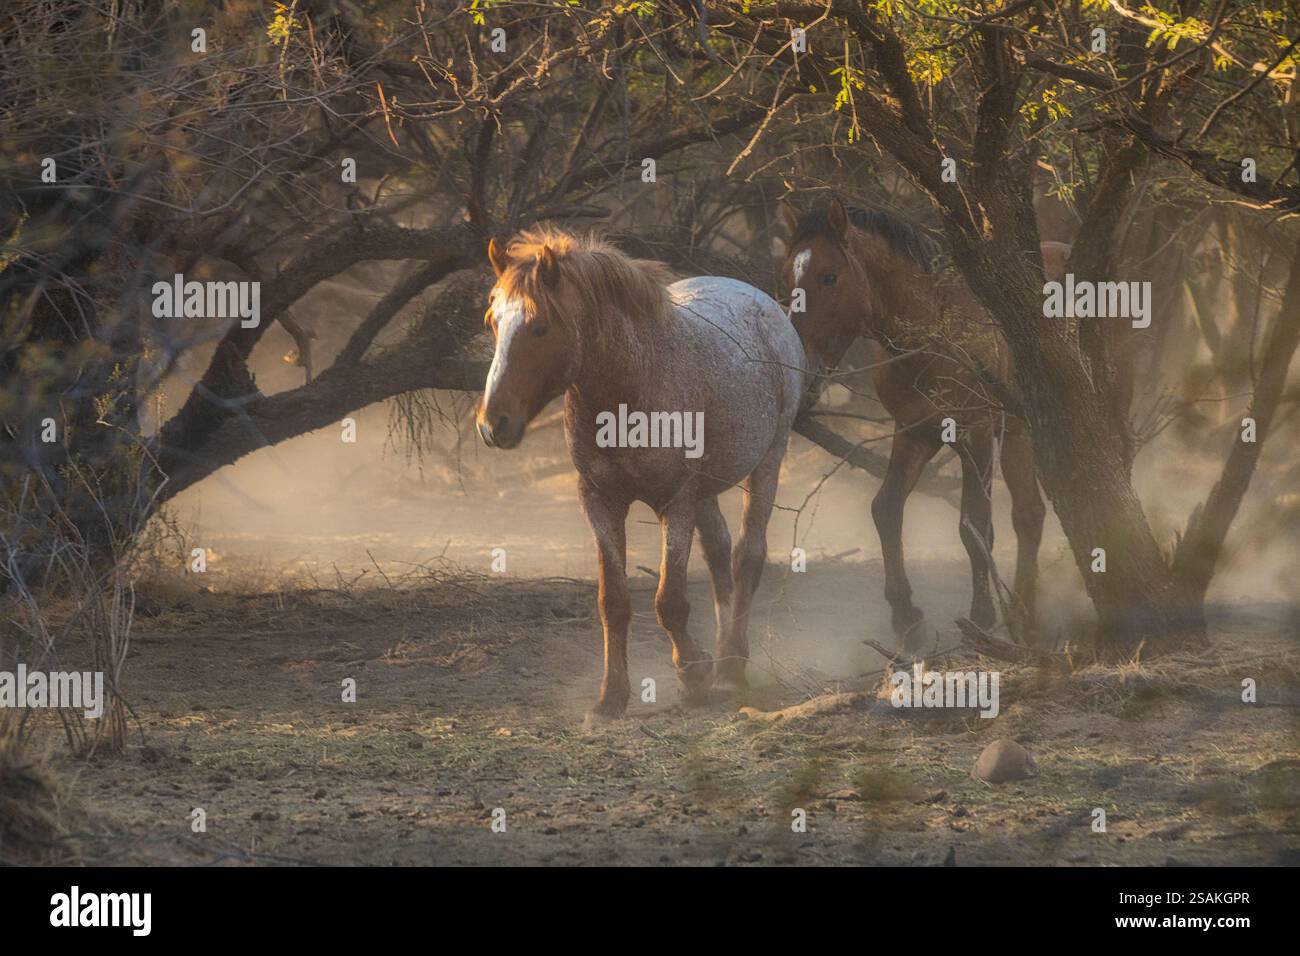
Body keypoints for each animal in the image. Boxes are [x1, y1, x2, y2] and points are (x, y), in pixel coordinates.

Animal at [477, 226, 806, 725]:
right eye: (493, 322)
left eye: (540, 327)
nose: (493, 423)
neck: (633, 382)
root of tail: (762, 302)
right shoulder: (601, 501)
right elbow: (613, 602)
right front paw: (610, 698)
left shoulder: (676, 502)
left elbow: (669, 601)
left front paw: (693, 673)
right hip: (706, 494)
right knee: (718, 554)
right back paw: (722, 655)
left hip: (768, 461)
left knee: (747, 555)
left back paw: (730, 665)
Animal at [781, 198, 1067, 644]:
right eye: (786, 276)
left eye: (829, 276)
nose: (800, 369)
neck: (934, 333)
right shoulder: (914, 434)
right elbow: (886, 509)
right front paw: (906, 617)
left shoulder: (975, 434)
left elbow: (975, 526)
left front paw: (980, 616)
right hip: (1019, 434)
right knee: (1029, 514)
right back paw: (1023, 616)